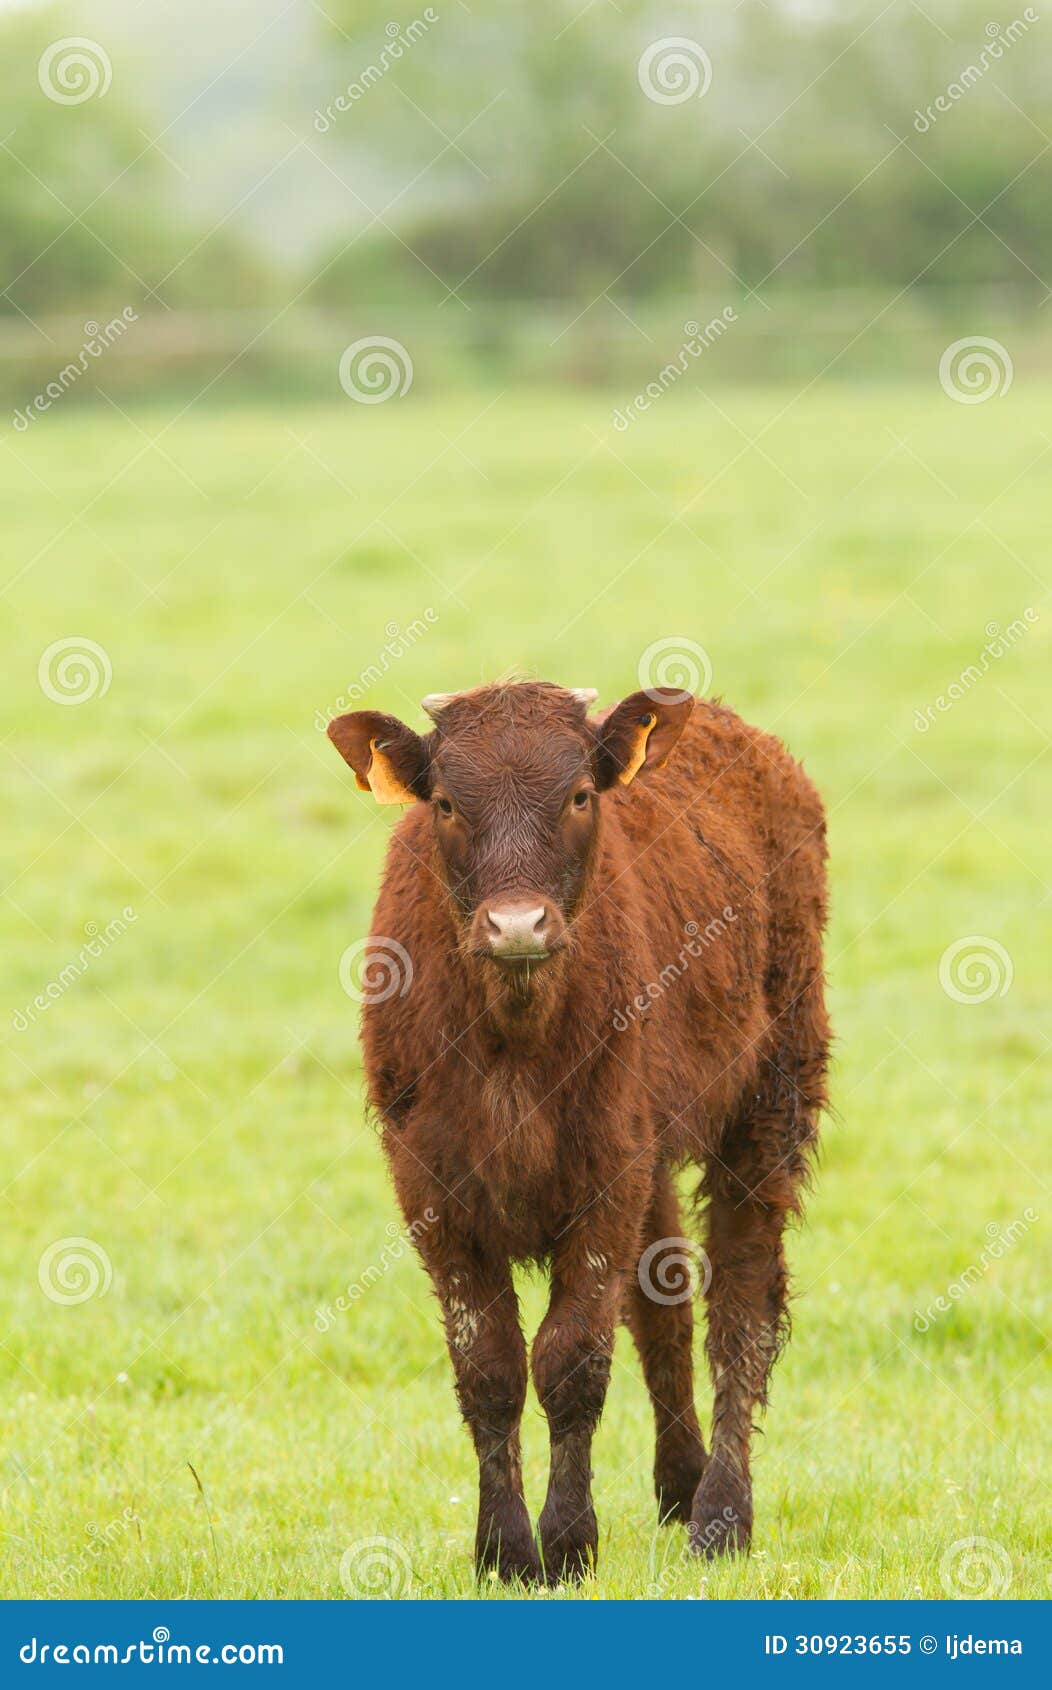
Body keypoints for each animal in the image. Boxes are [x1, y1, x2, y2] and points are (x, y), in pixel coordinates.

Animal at [326, 680, 829, 1584]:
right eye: (446, 802)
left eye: (581, 795)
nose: (518, 926)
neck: (515, 1035)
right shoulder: (432, 1185)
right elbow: (488, 1364)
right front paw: (502, 1548)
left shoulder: (605, 1177)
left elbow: (571, 1358)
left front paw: (566, 1542)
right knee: (666, 1305)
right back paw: (680, 1484)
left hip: (773, 1095)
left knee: (742, 1301)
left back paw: (721, 1515)